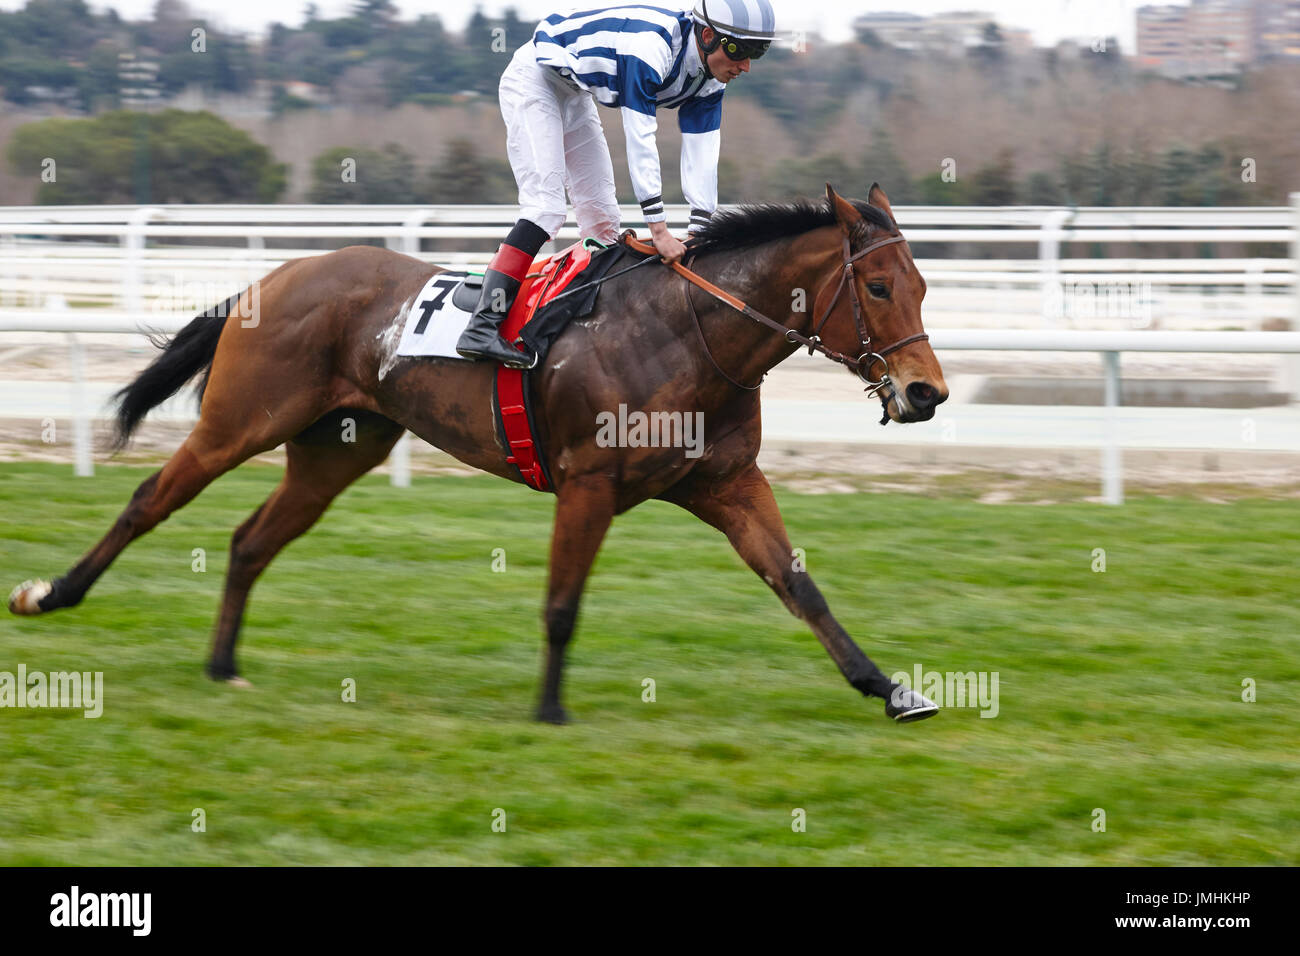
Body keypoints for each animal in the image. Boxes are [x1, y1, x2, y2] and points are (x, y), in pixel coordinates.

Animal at [8, 183, 949, 724]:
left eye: (923, 285)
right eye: (876, 286)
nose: (926, 393)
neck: (686, 333)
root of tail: (271, 277)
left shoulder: (727, 483)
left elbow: (797, 585)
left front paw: (890, 688)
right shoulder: (588, 483)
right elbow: (563, 603)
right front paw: (550, 710)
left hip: (335, 450)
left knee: (249, 541)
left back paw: (223, 664)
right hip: (237, 424)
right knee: (150, 500)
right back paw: (50, 593)